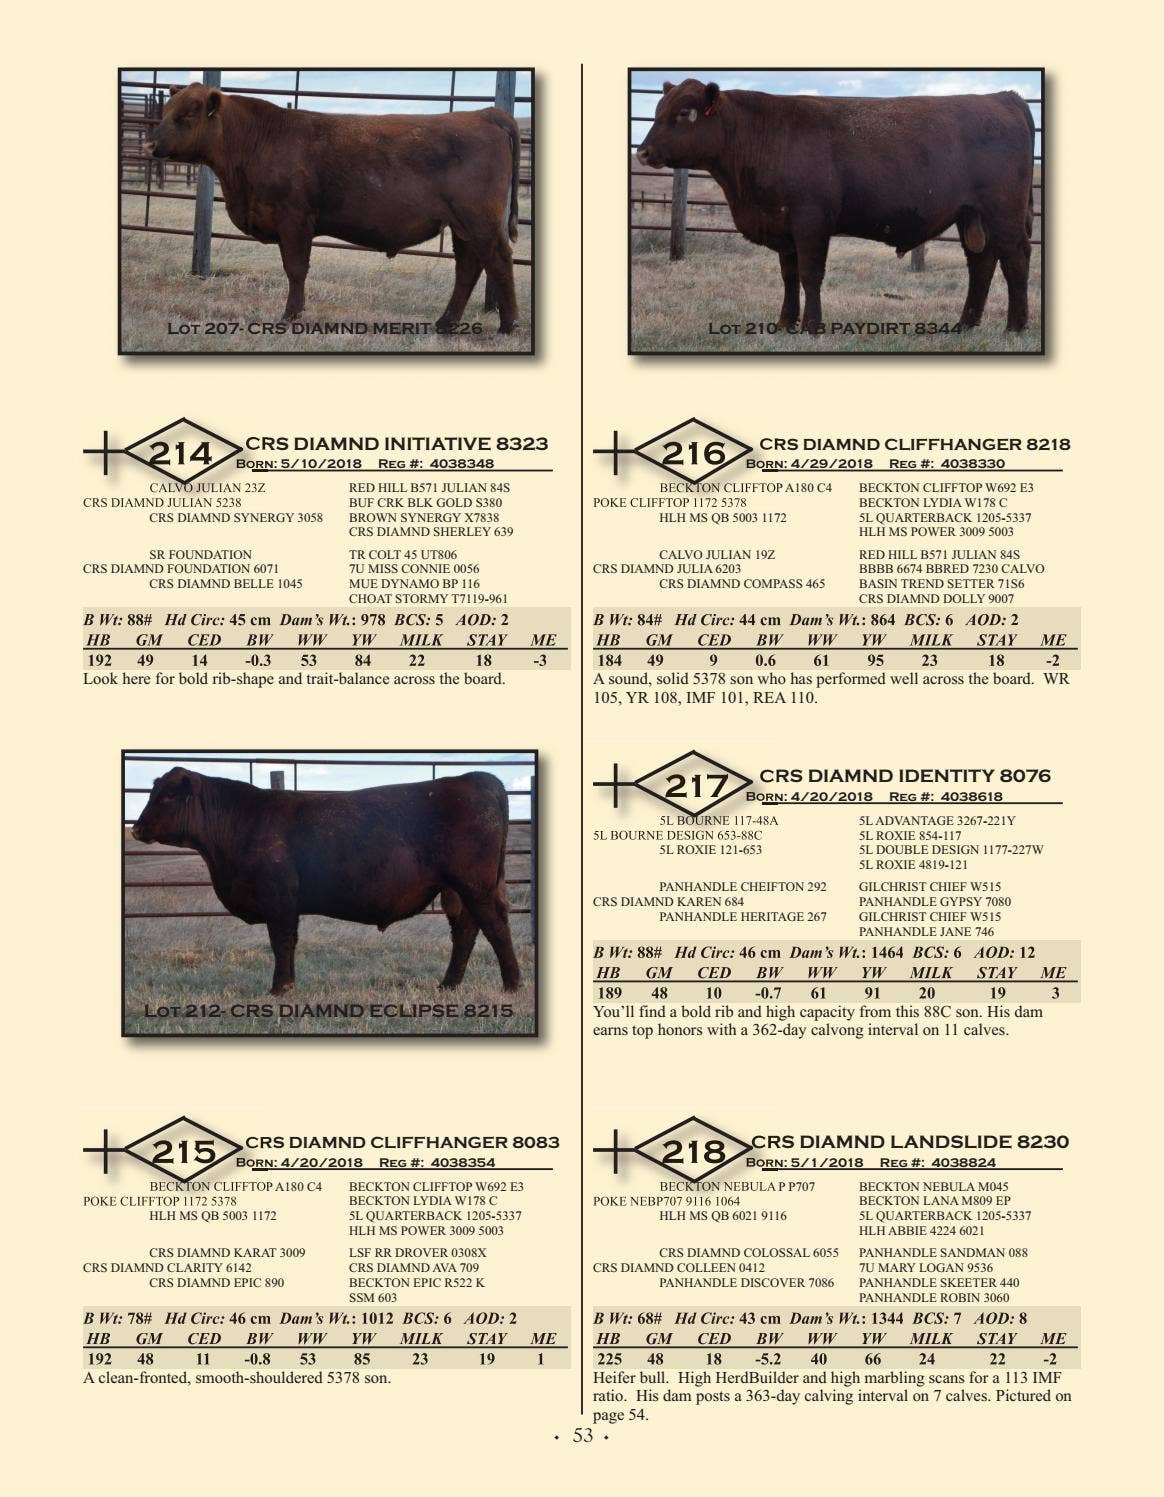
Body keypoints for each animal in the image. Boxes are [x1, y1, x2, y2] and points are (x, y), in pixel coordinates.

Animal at [130, 768, 523, 995]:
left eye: (168, 795)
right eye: (153, 792)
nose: (136, 828)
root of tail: (478, 778)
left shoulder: (279, 898)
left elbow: (282, 942)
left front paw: (280, 989)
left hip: (476, 883)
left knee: (495, 925)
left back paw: (512, 985)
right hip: (456, 888)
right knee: (466, 930)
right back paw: (448, 985)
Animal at [149, 83, 521, 333]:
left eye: (187, 115)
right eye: (165, 111)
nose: (151, 145)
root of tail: (484, 114)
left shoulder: (294, 220)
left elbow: (295, 269)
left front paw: (290, 316)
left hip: (479, 220)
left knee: (499, 261)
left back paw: (508, 325)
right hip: (462, 225)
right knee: (469, 267)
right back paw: (446, 323)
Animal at [636, 80, 1036, 334]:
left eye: (685, 113)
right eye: (658, 110)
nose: (643, 151)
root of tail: (1004, 97)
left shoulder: (811, 221)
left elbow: (810, 274)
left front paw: (812, 327)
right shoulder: (783, 225)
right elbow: (789, 276)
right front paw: (784, 324)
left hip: (1004, 211)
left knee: (1015, 259)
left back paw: (1015, 327)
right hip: (972, 214)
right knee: (981, 263)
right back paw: (965, 324)